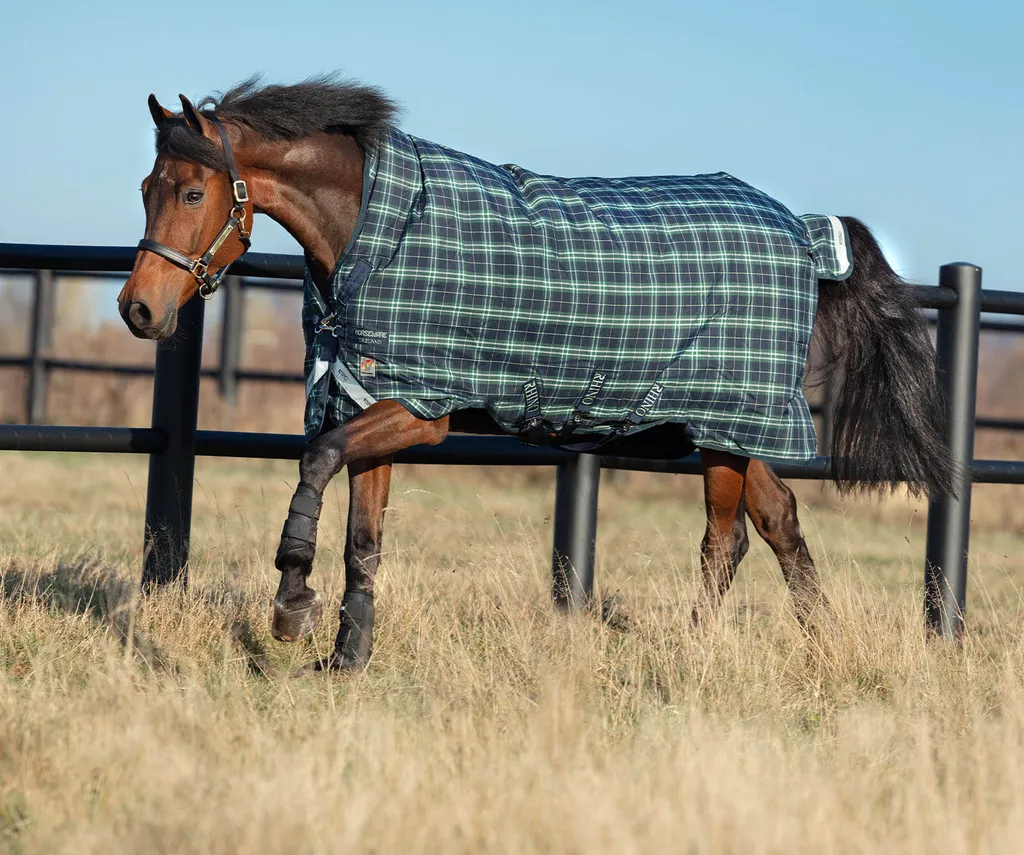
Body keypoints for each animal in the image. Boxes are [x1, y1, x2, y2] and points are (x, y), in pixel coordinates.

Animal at [117, 77, 953, 671]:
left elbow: (315, 464)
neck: (377, 229)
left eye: (192, 191)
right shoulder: (369, 398)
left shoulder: (418, 408)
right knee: (779, 518)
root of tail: (804, 232)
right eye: (145, 189)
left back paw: (695, 656)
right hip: (730, 428)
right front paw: (344, 658)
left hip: (725, 422)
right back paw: (822, 643)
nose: (138, 309)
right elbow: (364, 538)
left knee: (726, 540)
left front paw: (291, 604)